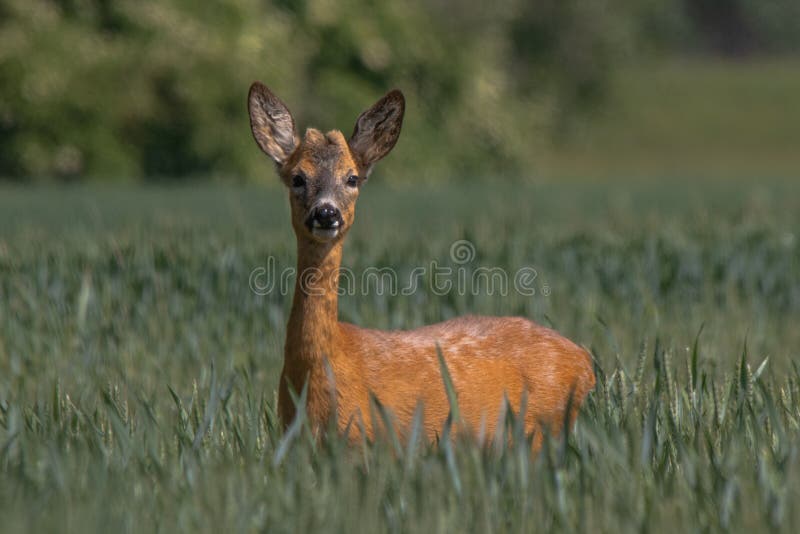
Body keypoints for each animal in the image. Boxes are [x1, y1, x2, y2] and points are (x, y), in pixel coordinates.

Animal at [248, 82, 595, 450]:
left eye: (352, 178)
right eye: (297, 178)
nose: (326, 213)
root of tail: (584, 360)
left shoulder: (369, 442)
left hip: (543, 428)